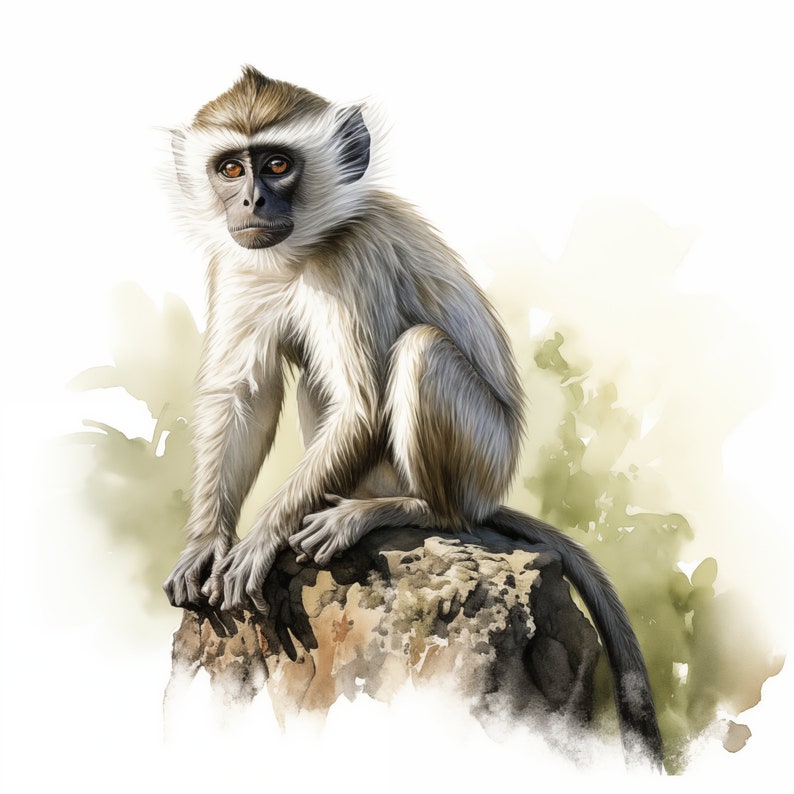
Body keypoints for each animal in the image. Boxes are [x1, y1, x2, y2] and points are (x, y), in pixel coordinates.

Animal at [162, 66, 663, 768]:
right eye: (231, 168)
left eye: (278, 164)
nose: (252, 202)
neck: (302, 252)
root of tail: (487, 496)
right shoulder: (234, 262)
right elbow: (242, 395)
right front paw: (207, 543)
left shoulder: (353, 257)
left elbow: (362, 404)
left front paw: (259, 541)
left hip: (483, 452)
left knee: (420, 352)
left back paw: (407, 510)